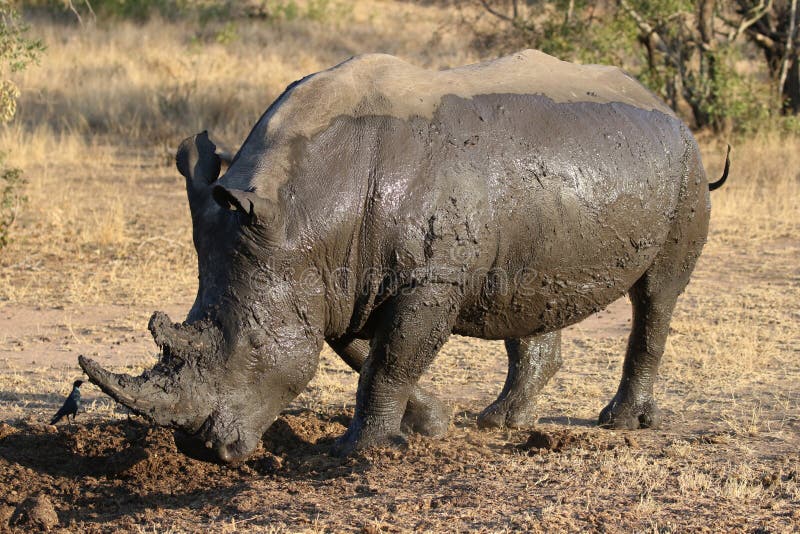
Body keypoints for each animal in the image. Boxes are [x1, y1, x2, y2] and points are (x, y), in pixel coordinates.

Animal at [80, 50, 729, 462]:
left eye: (252, 347)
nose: (202, 452)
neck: (299, 215)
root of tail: (664, 106)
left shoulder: (426, 279)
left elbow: (391, 358)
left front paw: (360, 451)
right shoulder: (339, 279)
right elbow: (364, 354)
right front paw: (429, 426)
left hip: (684, 168)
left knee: (658, 295)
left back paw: (620, 422)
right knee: (527, 288)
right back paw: (499, 422)